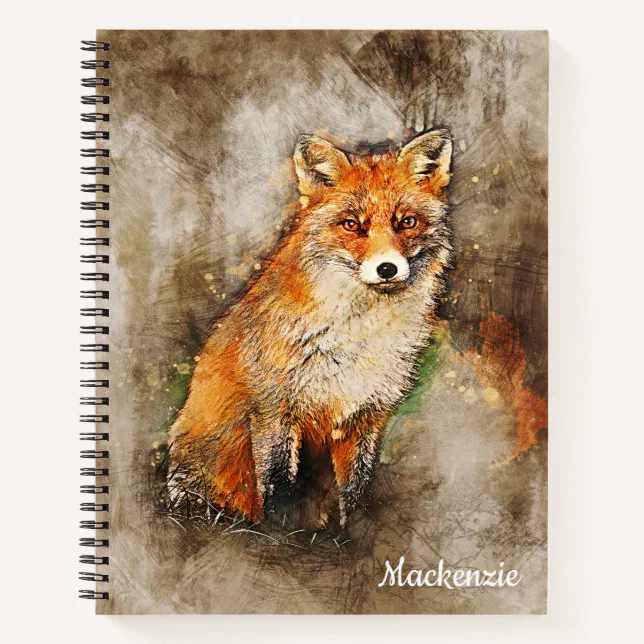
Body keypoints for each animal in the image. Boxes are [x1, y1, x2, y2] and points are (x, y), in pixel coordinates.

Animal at [167, 128, 453, 529]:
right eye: (352, 224)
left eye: (406, 223)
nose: (387, 269)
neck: (359, 336)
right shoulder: (275, 409)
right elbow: (280, 488)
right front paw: (283, 537)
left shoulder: (366, 416)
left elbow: (355, 492)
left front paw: (352, 535)